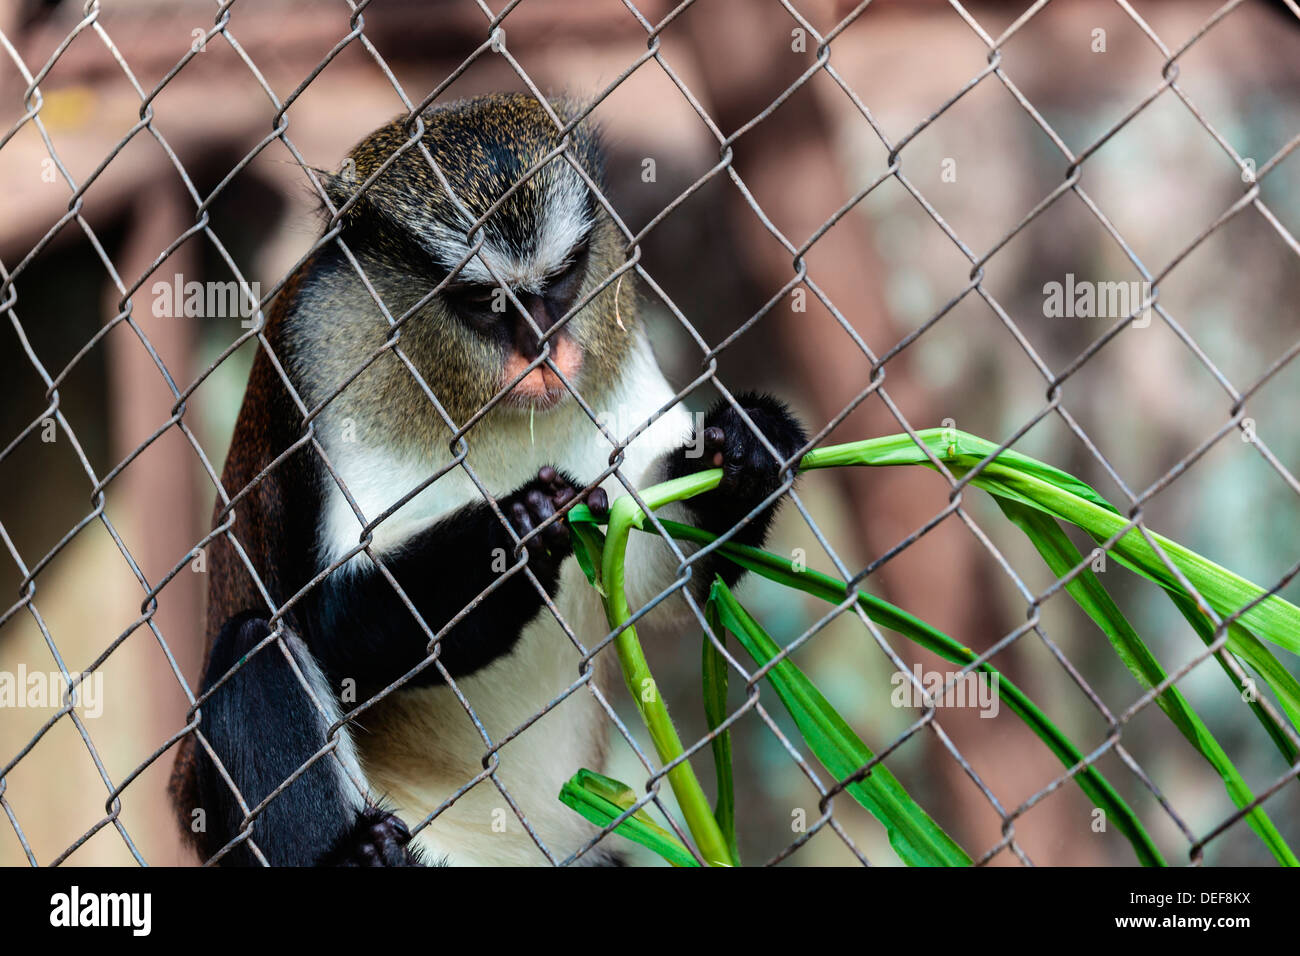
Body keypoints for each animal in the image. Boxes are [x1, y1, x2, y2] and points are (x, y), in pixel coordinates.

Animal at [168, 92, 807, 866]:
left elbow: (647, 567)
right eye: (484, 302)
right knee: (252, 648)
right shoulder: (322, 352)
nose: (545, 350)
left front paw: (745, 450)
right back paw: (361, 854)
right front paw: (517, 531)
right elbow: (326, 620)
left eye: (563, 277)